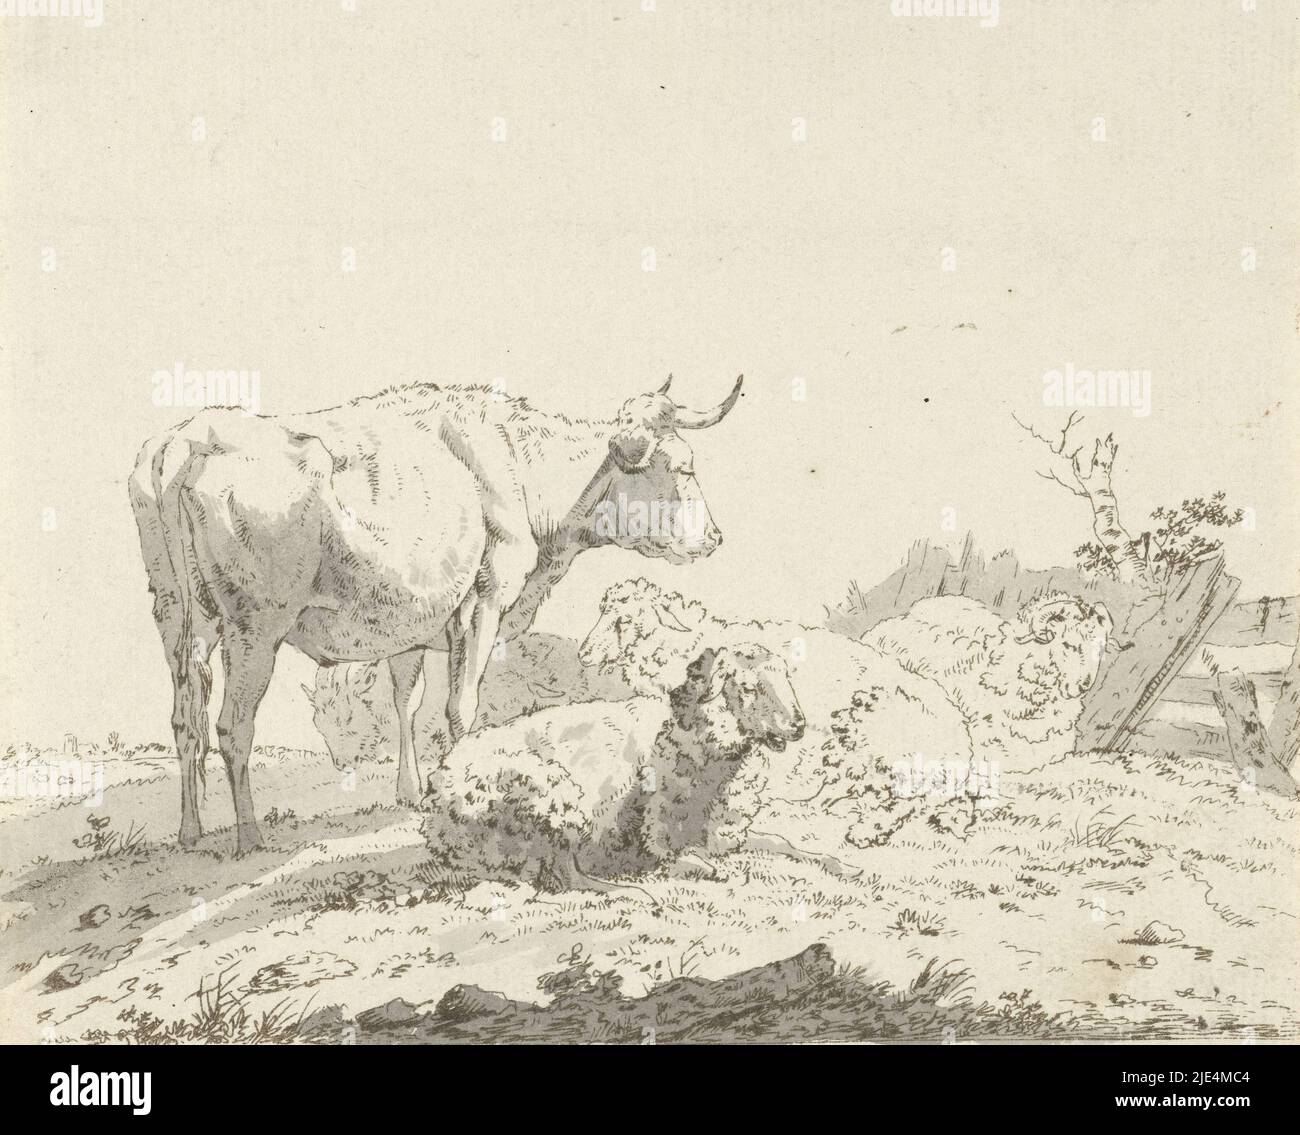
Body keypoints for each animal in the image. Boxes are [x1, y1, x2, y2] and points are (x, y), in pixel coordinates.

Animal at [128, 376, 743, 854]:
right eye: (684, 467)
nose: (716, 537)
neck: (518, 464)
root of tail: (191, 435)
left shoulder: (413, 626)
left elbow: (406, 699)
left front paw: (412, 791)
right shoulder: (484, 600)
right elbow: (459, 708)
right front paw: (454, 795)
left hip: (176, 617)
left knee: (185, 721)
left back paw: (190, 832)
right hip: (255, 628)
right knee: (232, 725)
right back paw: (249, 837)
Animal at [420, 642, 822, 891]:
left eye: (786, 679)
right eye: (748, 687)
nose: (799, 725)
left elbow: (783, 843)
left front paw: (830, 861)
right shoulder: (659, 831)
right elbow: (680, 856)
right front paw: (706, 869)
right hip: (553, 791)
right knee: (567, 877)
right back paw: (630, 892)